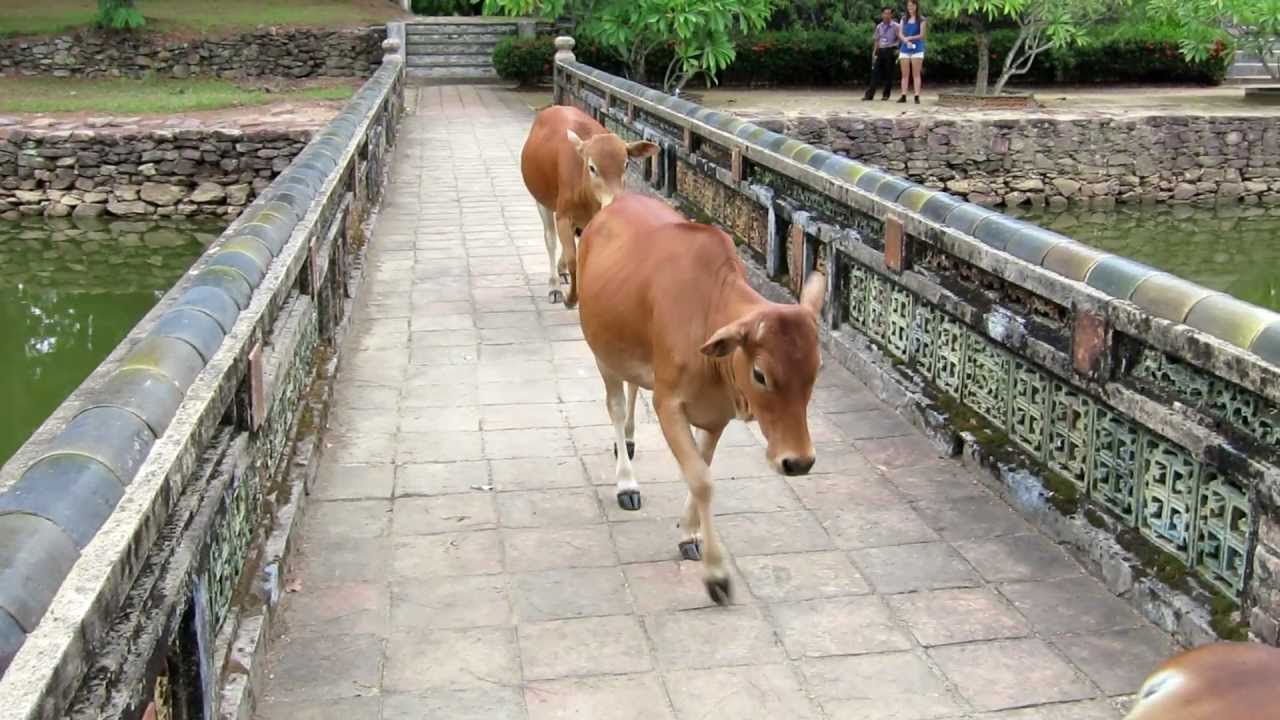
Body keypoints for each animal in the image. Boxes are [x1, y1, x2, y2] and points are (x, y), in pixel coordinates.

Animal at [519, 105, 658, 308]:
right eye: (592, 167)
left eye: (625, 164)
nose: (615, 201)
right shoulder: (563, 215)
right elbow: (572, 258)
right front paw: (570, 298)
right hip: (541, 200)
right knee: (550, 239)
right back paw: (554, 285)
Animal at [576, 192, 825, 604]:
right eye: (760, 374)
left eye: (816, 370)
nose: (799, 462)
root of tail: (618, 199)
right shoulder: (668, 405)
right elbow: (702, 480)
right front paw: (716, 575)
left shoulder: (716, 415)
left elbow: (702, 469)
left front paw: (689, 533)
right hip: (603, 352)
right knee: (615, 405)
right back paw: (626, 481)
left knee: (632, 388)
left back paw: (629, 438)